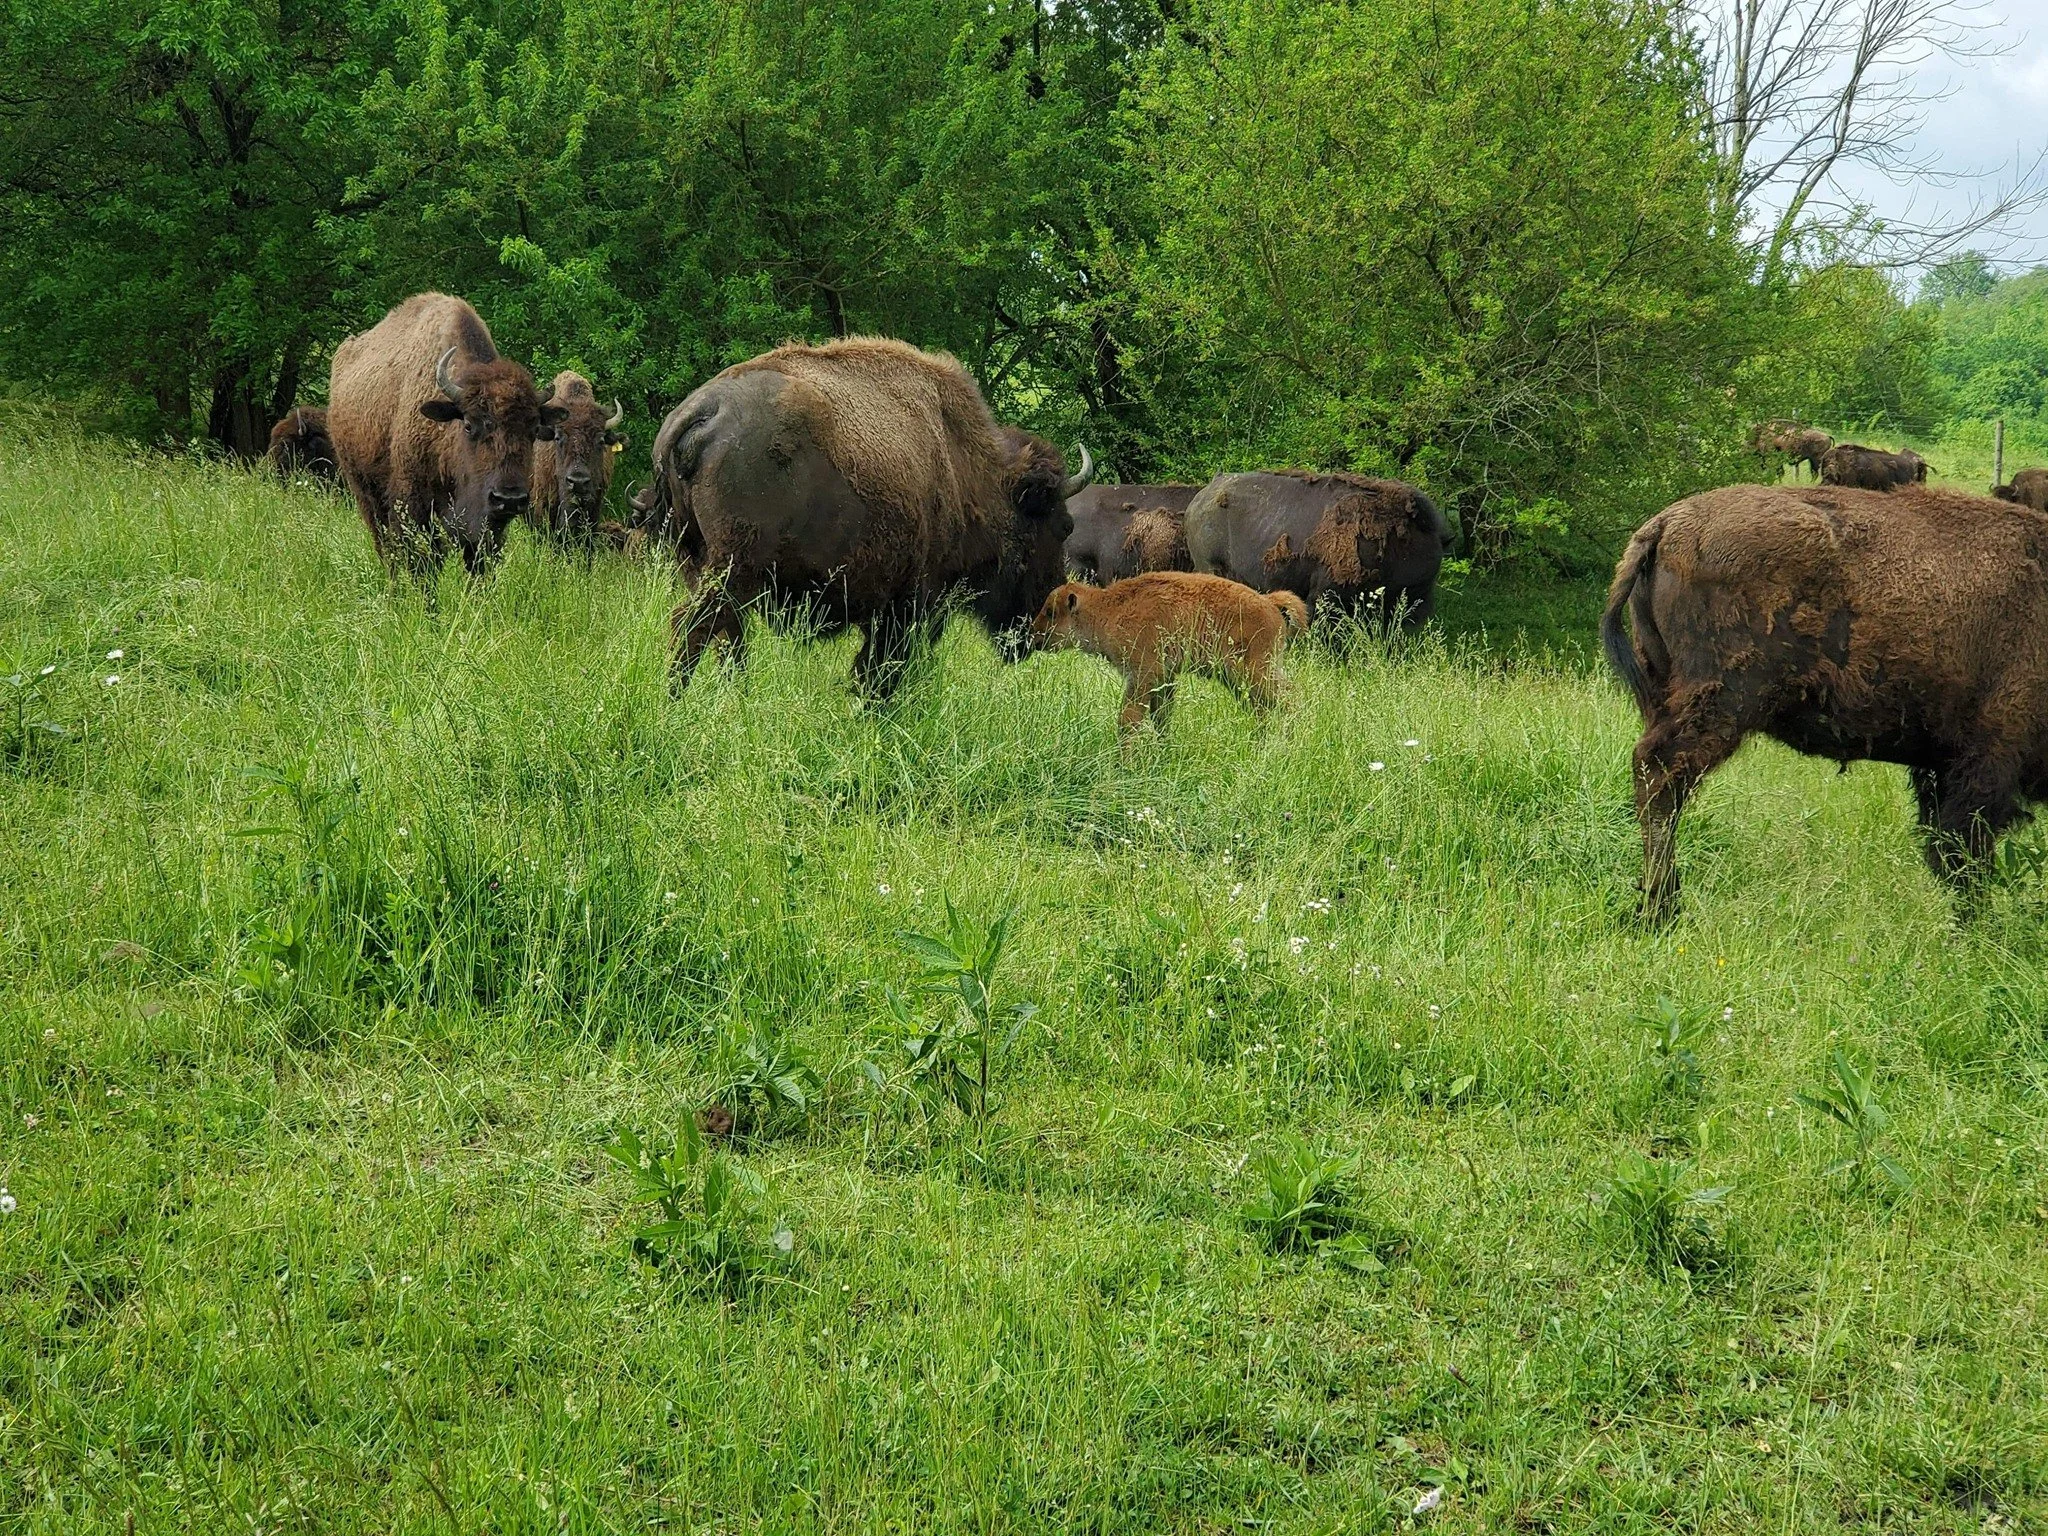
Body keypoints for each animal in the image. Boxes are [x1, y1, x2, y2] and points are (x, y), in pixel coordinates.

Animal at [328, 293, 566, 574]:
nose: (508, 498)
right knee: (386, 548)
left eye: (533, 430)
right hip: (364, 490)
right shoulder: (413, 505)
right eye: (468, 425)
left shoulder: (487, 528)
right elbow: (423, 562)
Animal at [641, 336, 1095, 694]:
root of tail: (703, 410)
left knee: (726, 639)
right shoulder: (911, 606)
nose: (1044, 619)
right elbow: (881, 669)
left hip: (702, 565)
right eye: (1063, 526)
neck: (965, 468)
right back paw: (675, 705)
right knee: (691, 626)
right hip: (732, 569)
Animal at [1603, 482, 2048, 920]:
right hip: (1722, 700)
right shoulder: (1987, 758)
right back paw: (1661, 911)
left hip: (1666, 695)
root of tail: (1665, 525)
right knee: (1660, 774)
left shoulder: (1943, 767)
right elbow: (1964, 856)